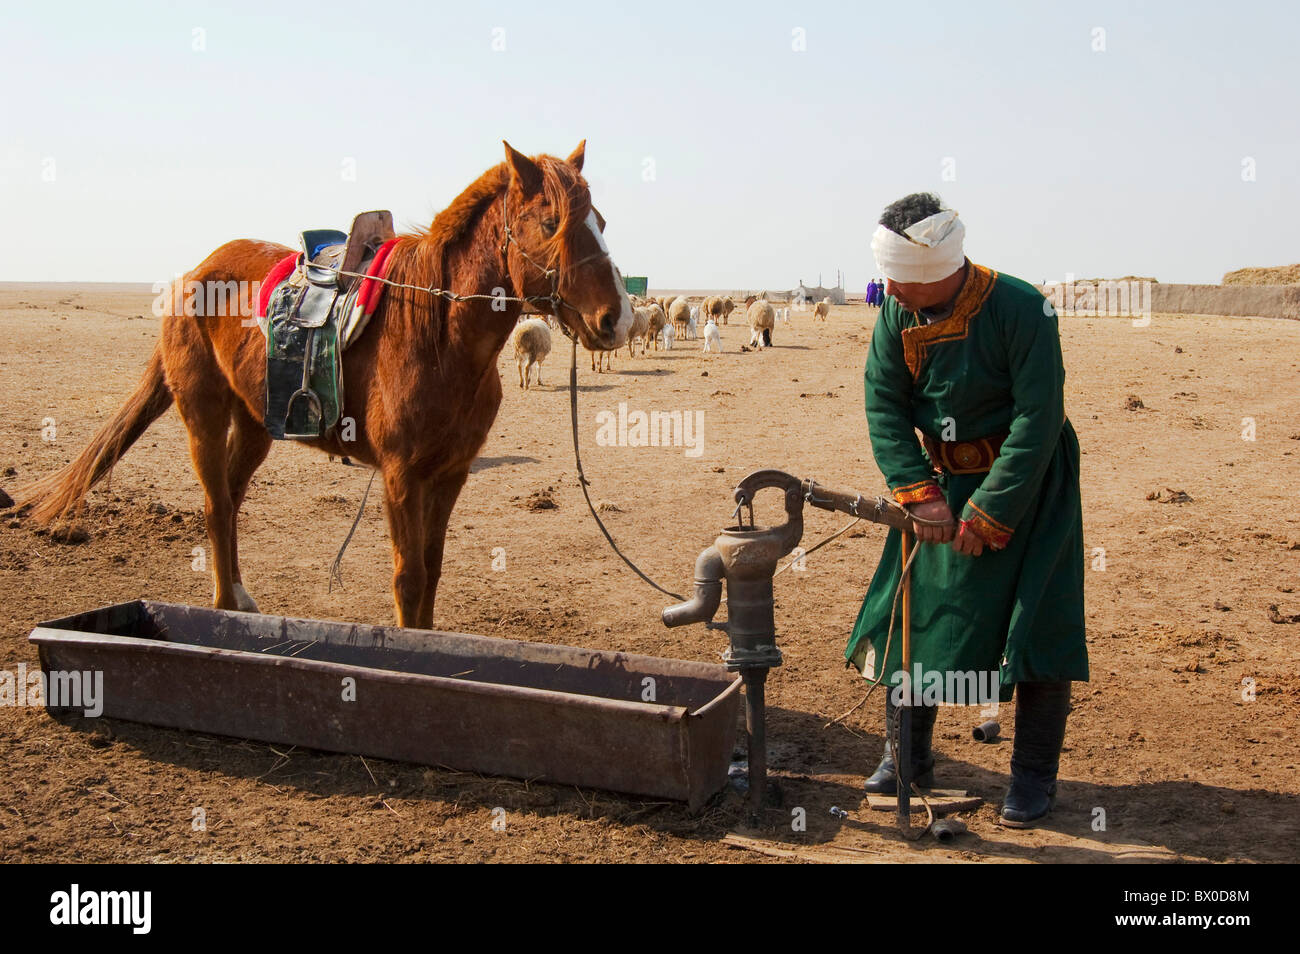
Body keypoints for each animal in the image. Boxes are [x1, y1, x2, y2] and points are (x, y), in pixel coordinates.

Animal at [16, 141, 634, 629]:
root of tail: (192, 274)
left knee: (232, 500)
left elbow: (431, 571)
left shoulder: (451, 472)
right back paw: (223, 604)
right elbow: (409, 578)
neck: (441, 337)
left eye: (602, 223)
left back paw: (239, 594)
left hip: (256, 423)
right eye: (552, 224)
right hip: (203, 415)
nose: (618, 319)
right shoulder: (401, 475)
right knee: (216, 505)